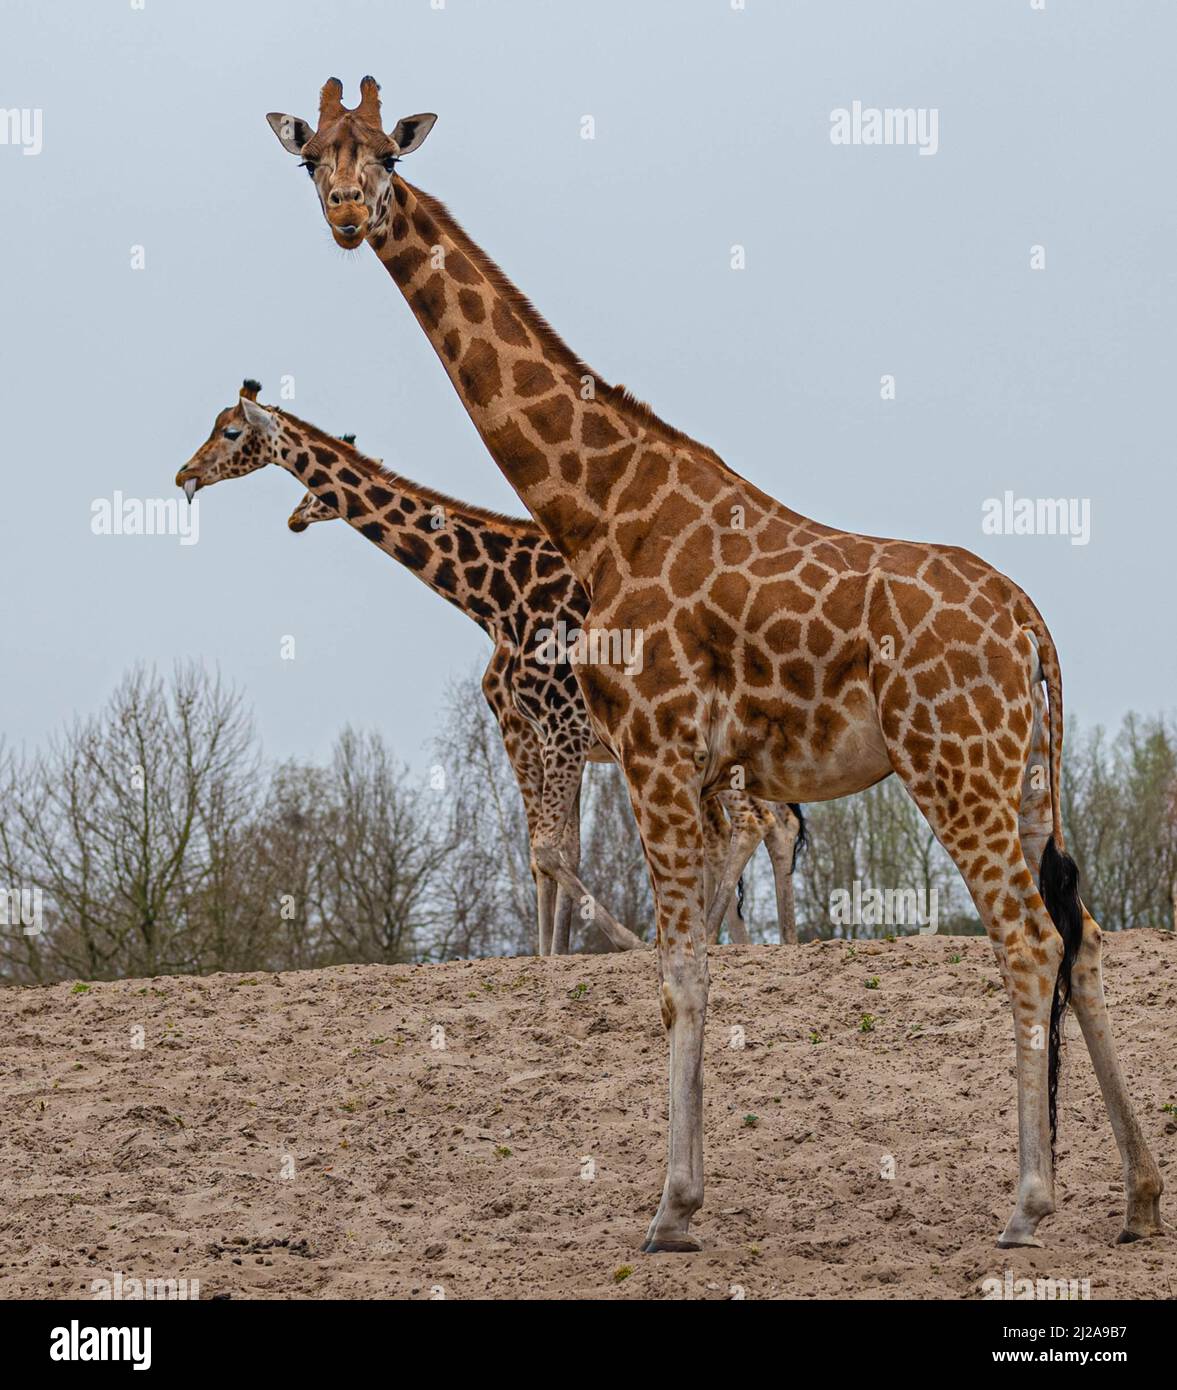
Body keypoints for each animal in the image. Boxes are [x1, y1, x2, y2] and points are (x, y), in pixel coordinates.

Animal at [174, 385, 804, 957]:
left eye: (231, 431)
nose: (186, 473)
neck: (497, 600)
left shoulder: (551, 727)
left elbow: (548, 849)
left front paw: (608, 943)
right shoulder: (546, 731)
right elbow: (558, 848)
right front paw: (558, 952)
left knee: (753, 823)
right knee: (759, 823)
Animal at [263, 79, 1163, 1250]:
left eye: (383, 154)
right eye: (311, 156)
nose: (343, 213)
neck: (601, 510)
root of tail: (1029, 620)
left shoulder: (652, 751)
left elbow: (676, 971)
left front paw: (670, 1209)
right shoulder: (690, 768)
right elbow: (687, 961)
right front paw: (684, 1196)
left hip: (952, 765)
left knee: (1024, 938)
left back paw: (1027, 1201)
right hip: (1026, 773)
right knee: (1083, 932)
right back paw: (1138, 1197)